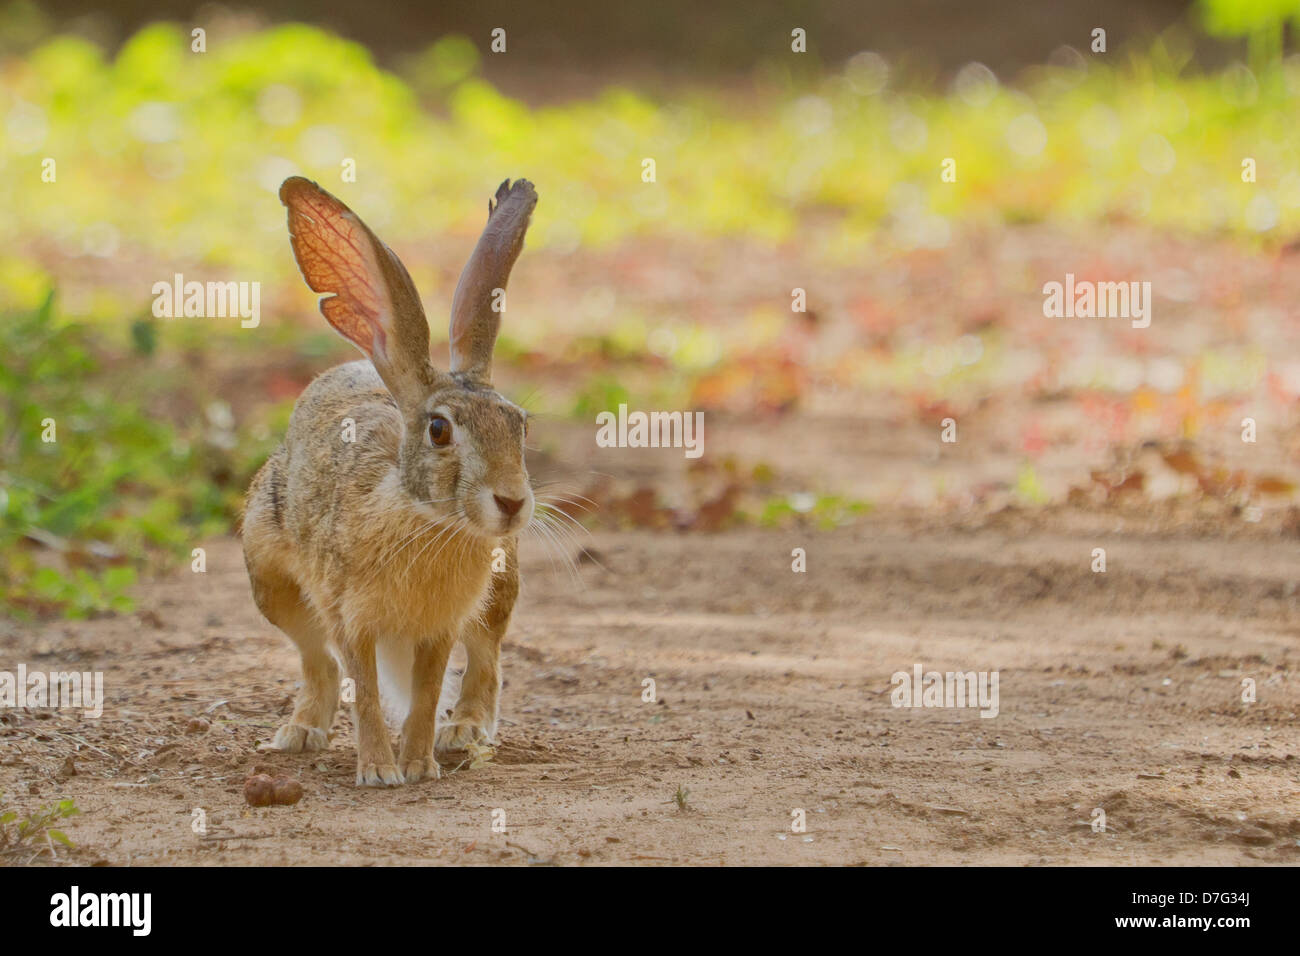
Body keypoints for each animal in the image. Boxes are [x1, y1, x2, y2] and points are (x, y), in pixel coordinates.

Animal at [242, 175, 537, 786]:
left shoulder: (441, 625)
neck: (425, 516)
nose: (513, 503)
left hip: (499, 589)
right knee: (318, 660)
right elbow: (367, 691)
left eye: (521, 425)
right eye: (439, 430)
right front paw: (379, 771)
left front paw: (420, 765)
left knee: (488, 659)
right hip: (271, 578)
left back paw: (466, 731)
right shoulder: (349, 616)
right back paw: (298, 733)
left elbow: (426, 693)